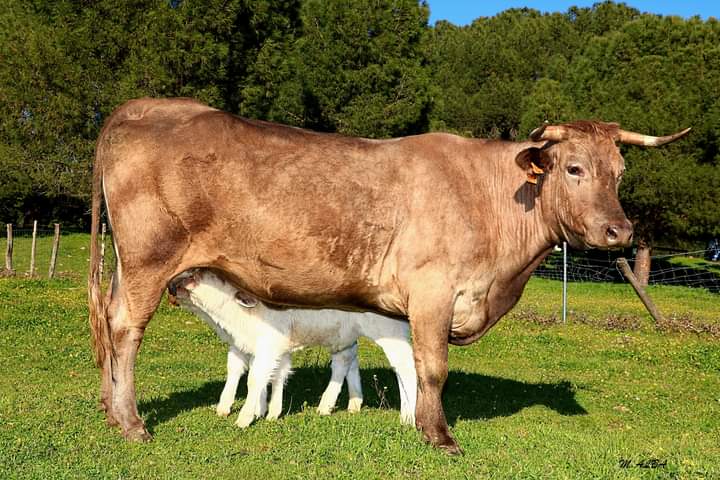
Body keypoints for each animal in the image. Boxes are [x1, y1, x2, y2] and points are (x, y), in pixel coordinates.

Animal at [170, 268, 416, 426]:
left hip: (389, 330)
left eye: (194, 276)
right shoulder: (250, 345)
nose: (170, 286)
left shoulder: (269, 345)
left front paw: (246, 417)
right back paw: (345, 404)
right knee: (347, 362)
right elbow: (248, 372)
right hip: (345, 333)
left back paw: (408, 417)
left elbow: (256, 378)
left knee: (406, 369)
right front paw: (257, 409)